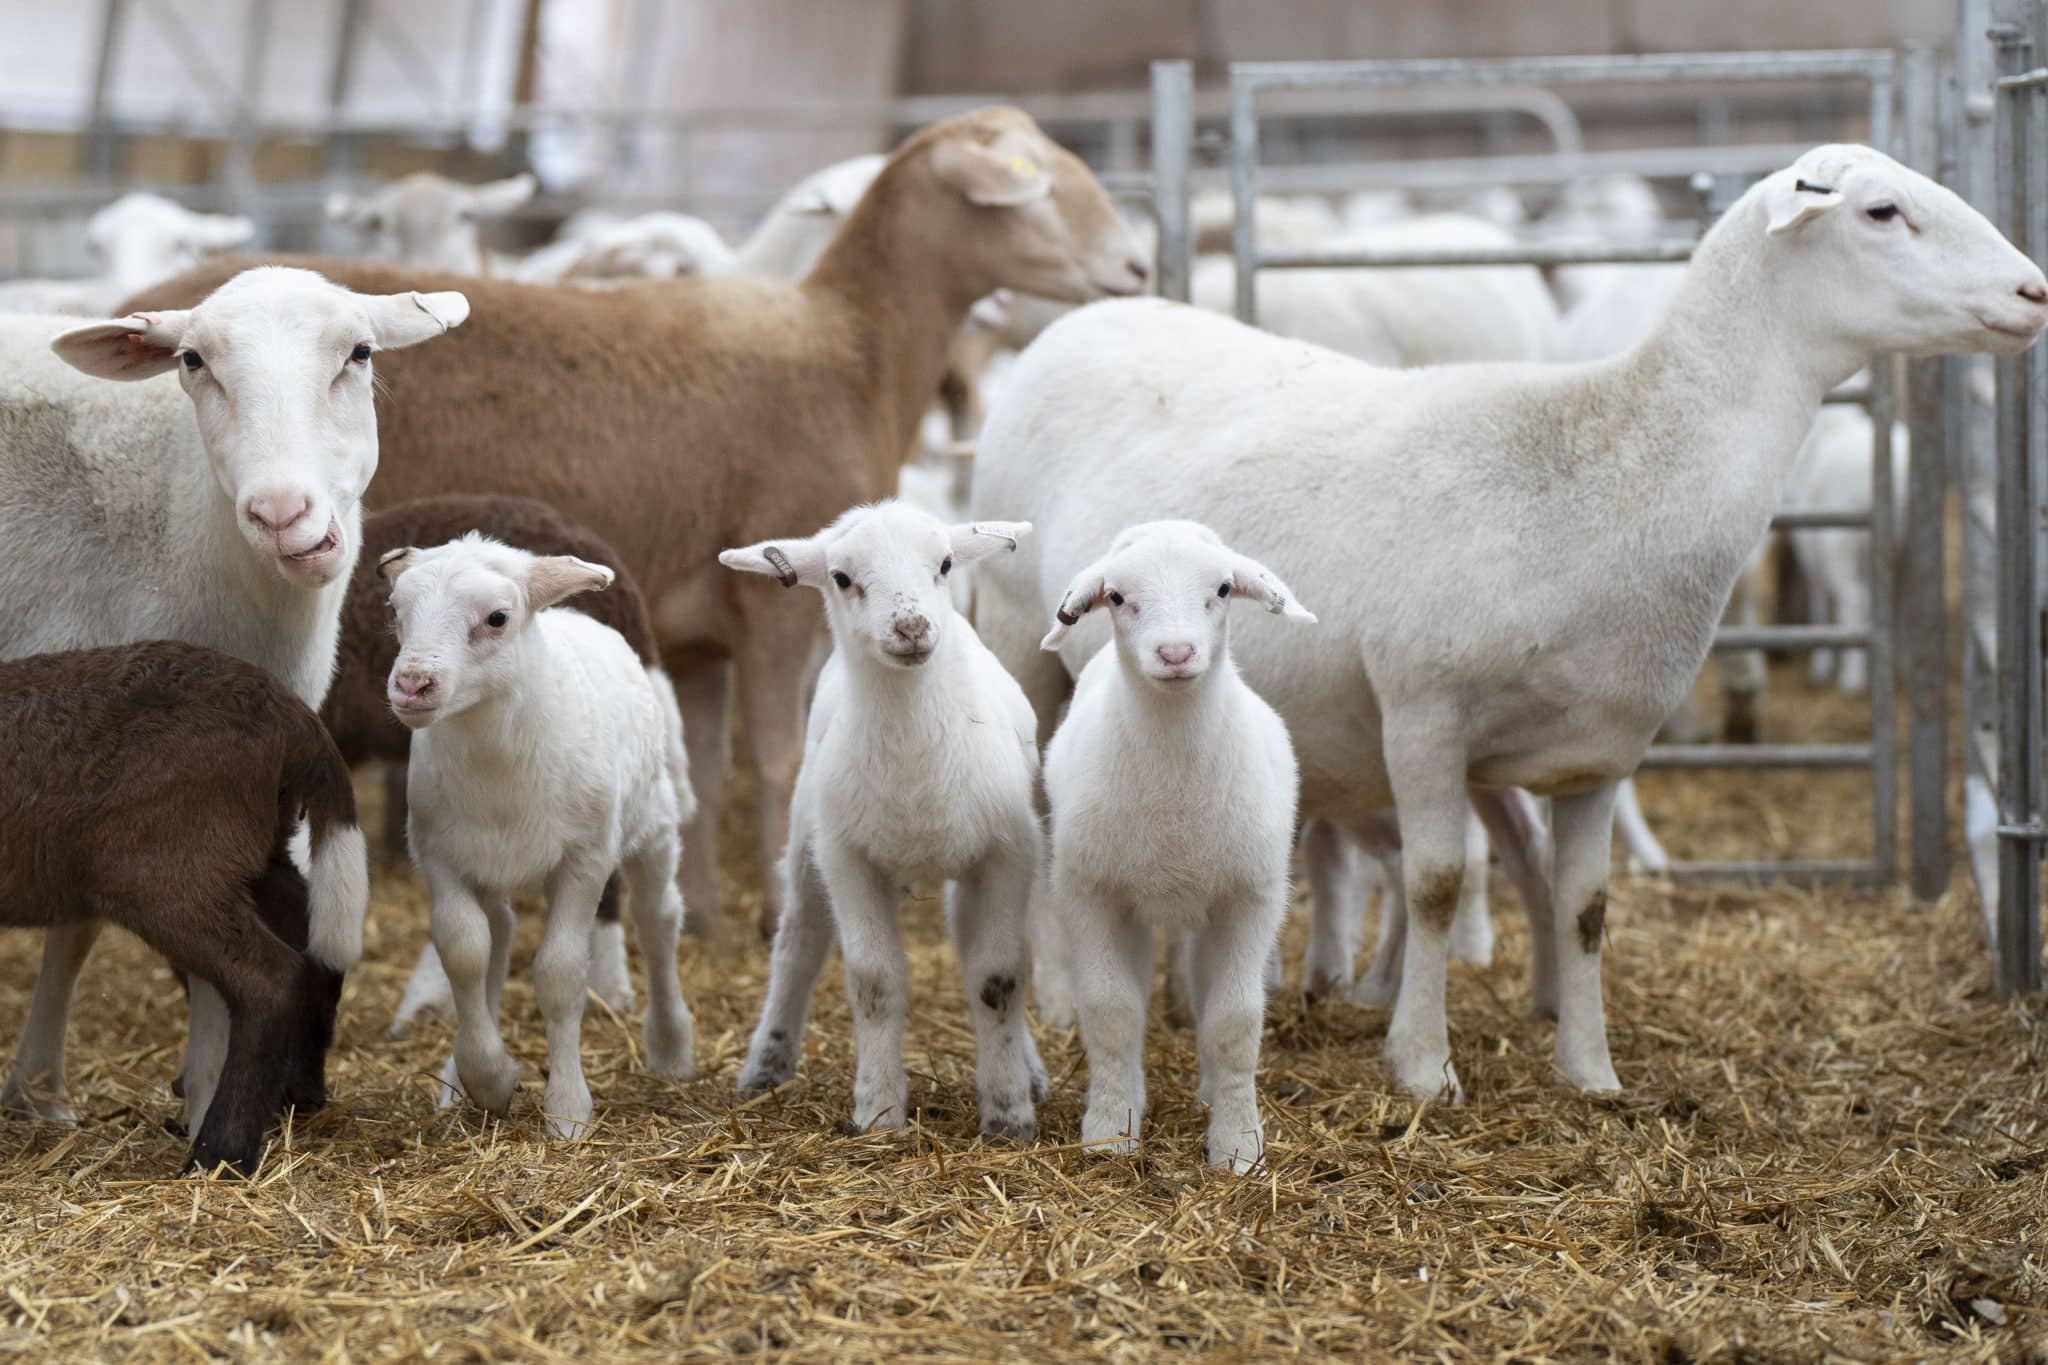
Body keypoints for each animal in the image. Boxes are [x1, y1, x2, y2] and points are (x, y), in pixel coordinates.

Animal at [0, 641, 369, 1175]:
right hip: (252, 850)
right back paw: (299, 1092)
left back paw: (219, 1154)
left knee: (270, 977)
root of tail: (291, 714)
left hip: (168, 872)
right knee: (310, 930)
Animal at [382, 534, 694, 1140]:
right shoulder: (440, 857)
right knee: (498, 932)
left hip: (651, 825)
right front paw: (489, 1079)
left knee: (657, 920)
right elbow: (464, 953)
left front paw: (568, 1111)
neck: (498, 766)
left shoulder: (585, 859)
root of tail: (574, 613)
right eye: (395, 612)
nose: (411, 685)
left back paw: (670, 1047)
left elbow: (560, 972)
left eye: (497, 618)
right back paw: (458, 1075)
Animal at [723, 503, 1045, 1139]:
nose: (913, 628)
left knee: (976, 949)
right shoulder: (847, 861)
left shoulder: (1007, 855)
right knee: (797, 946)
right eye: (842, 578)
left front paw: (1008, 1113)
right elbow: (874, 982)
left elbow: (997, 979)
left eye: (944, 564)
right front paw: (878, 1109)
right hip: (807, 840)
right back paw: (767, 1064)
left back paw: (1028, 1069)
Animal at [972, 144, 2048, 1100]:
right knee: (1042, 828)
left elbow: (1585, 906)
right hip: (1024, 646)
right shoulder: (1420, 714)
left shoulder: (1601, 750)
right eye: (1881, 211)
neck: (1609, 464)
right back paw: (1060, 1002)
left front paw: (1589, 1068)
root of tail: (1078, 326)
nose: (2033, 292)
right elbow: (1438, 883)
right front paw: (1420, 1066)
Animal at [1038, 522, 1314, 1171]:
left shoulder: (1250, 899)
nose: (1175, 654)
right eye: (1116, 597)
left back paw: (1213, 1091)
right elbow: (1111, 1013)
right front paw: (1111, 1131)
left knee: (1205, 988)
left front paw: (1238, 1145)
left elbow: (1234, 1020)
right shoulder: (1090, 896)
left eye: (1222, 588)